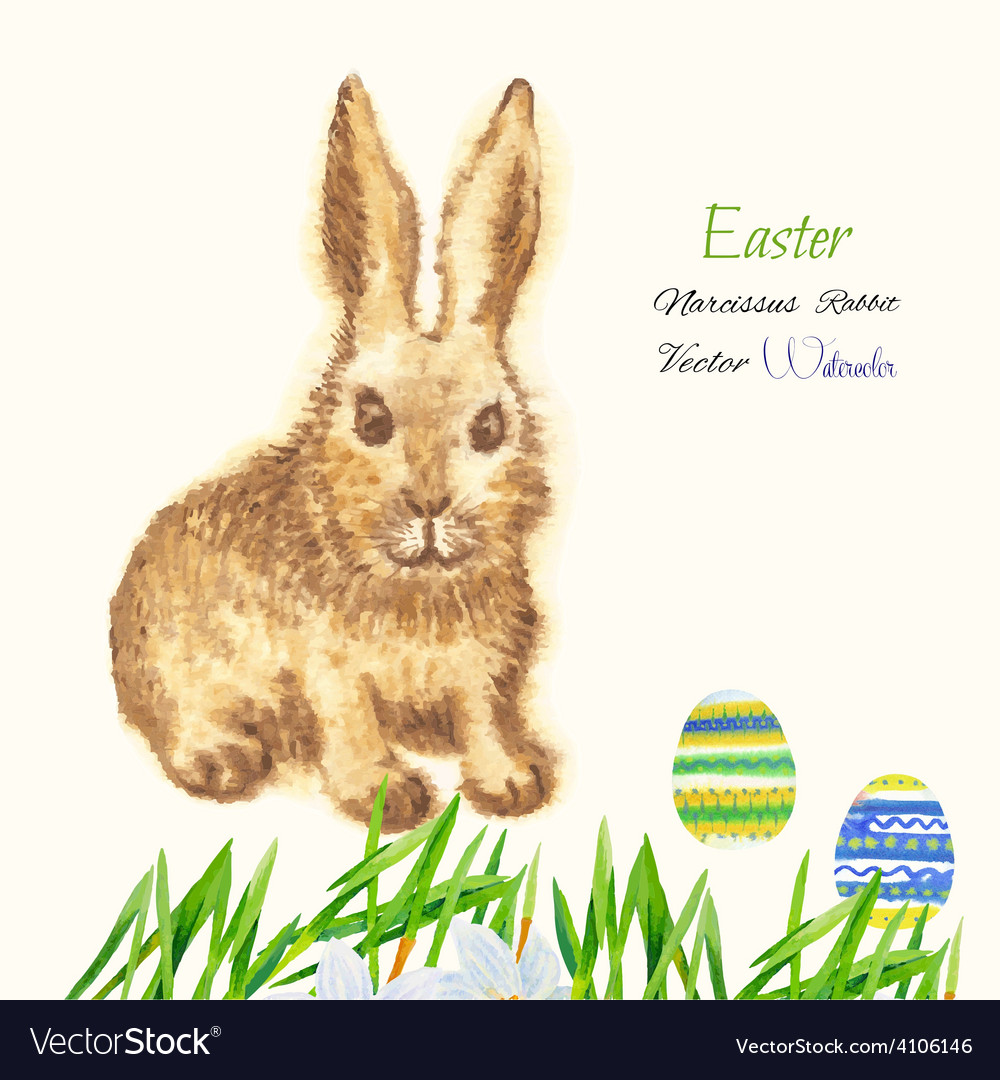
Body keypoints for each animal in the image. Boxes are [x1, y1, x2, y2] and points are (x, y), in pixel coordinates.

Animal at [109, 75, 560, 833]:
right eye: (371, 420)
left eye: (490, 427)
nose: (431, 509)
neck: (414, 585)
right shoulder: (332, 668)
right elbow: (353, 724)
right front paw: (388, 798)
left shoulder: (481, 669)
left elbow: (481, 719)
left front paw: (512, 783)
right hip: (175, 668)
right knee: (180, 722)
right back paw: (223, 760)